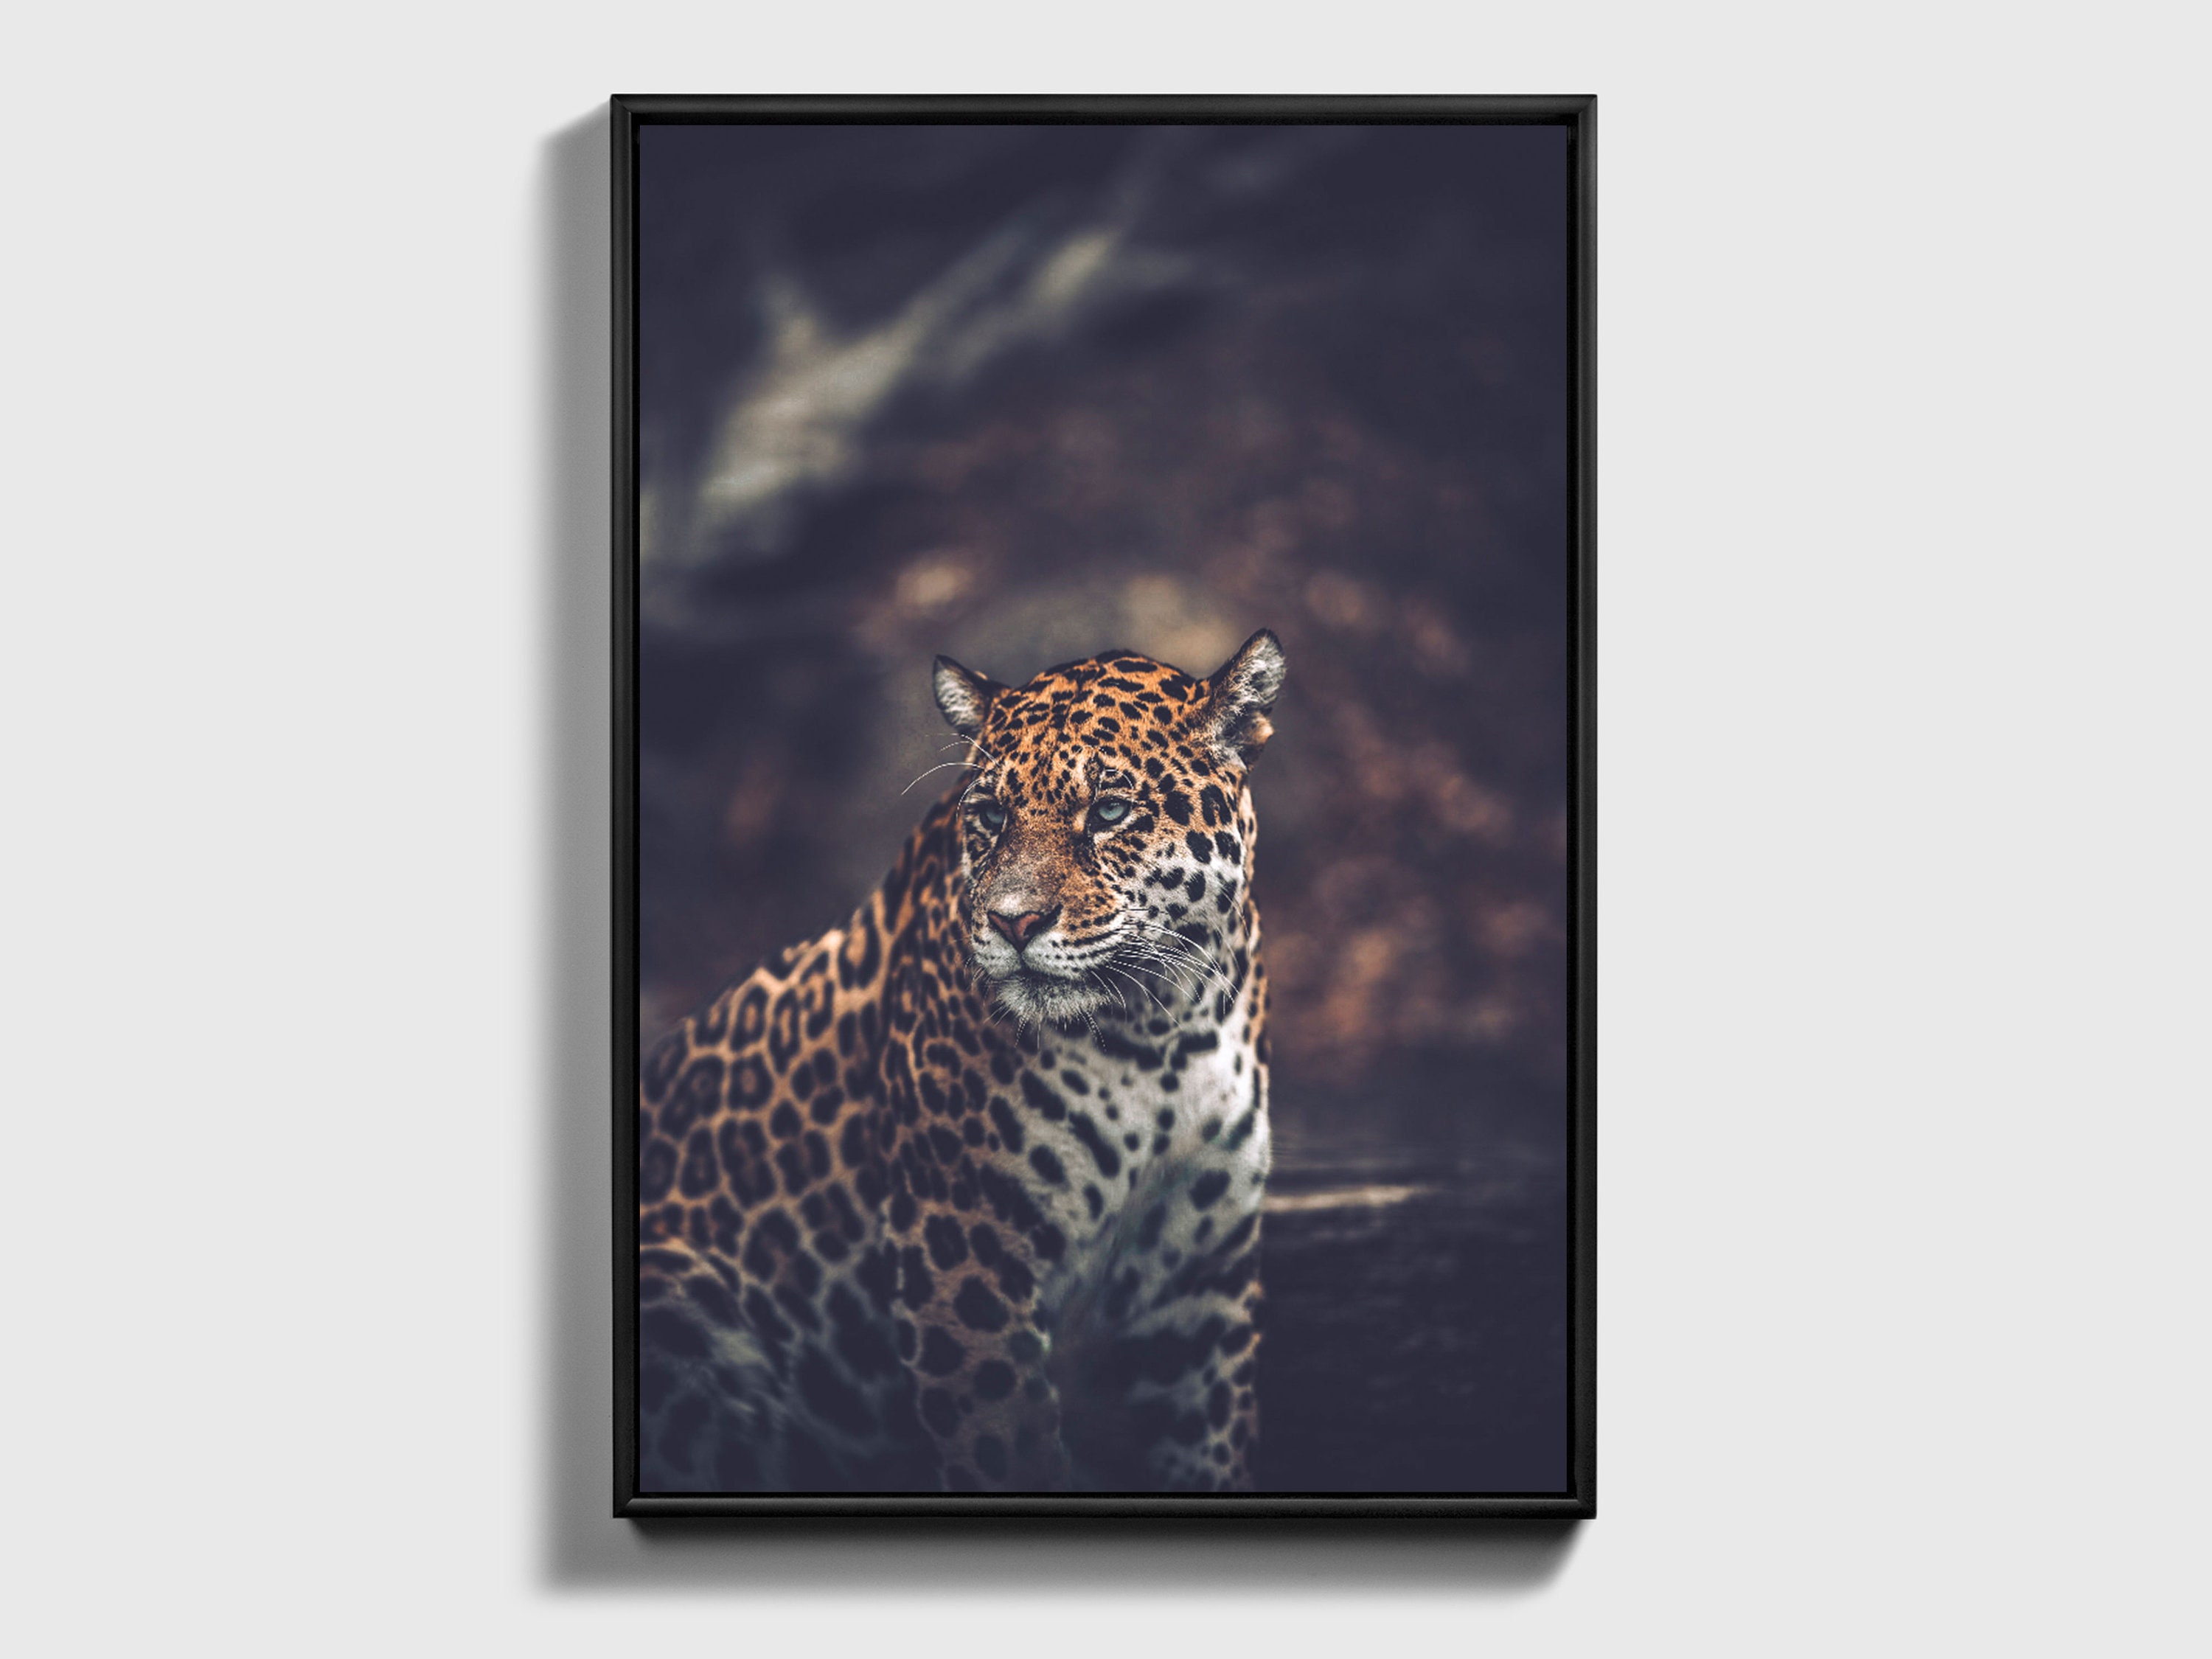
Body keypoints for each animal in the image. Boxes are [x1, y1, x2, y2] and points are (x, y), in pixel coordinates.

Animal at [635, 629, 1286, 1493]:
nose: (1013, 922)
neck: (1159, 1031)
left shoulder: (1199, 1274)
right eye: (990, 816)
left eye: (1110, 812)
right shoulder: (964, 1255)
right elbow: (1008, 1449)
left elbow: (1210, 1446)